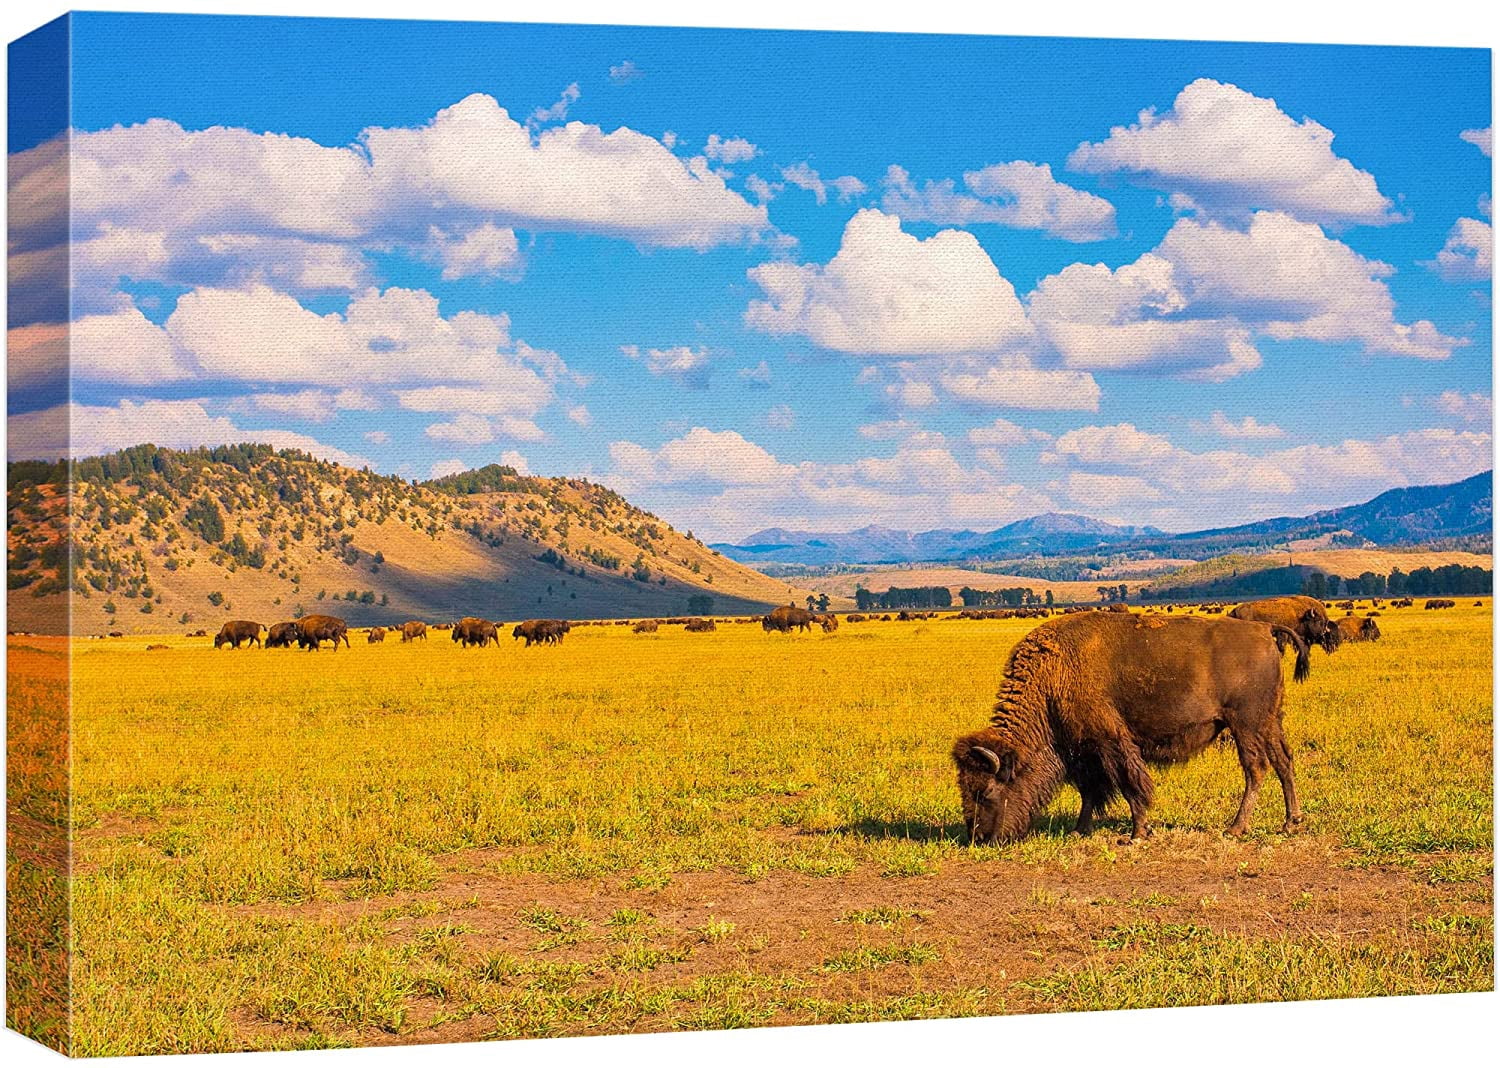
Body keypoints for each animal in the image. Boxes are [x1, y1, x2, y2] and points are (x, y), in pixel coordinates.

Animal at [953, 612, 1308, 845]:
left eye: (985, 792)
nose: (979, 838)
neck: (1051, 676)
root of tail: (1265, 629)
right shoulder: (1083, 750)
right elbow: (1090, 791)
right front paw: (1080, 830)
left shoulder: (1109, 741)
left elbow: (1128, 783)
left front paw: (1137, 834)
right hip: (1269, 722)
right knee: (1283, 762)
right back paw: (1290, 823)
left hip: (1245, 724)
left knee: (1256, 768)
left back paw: (1236, 828)